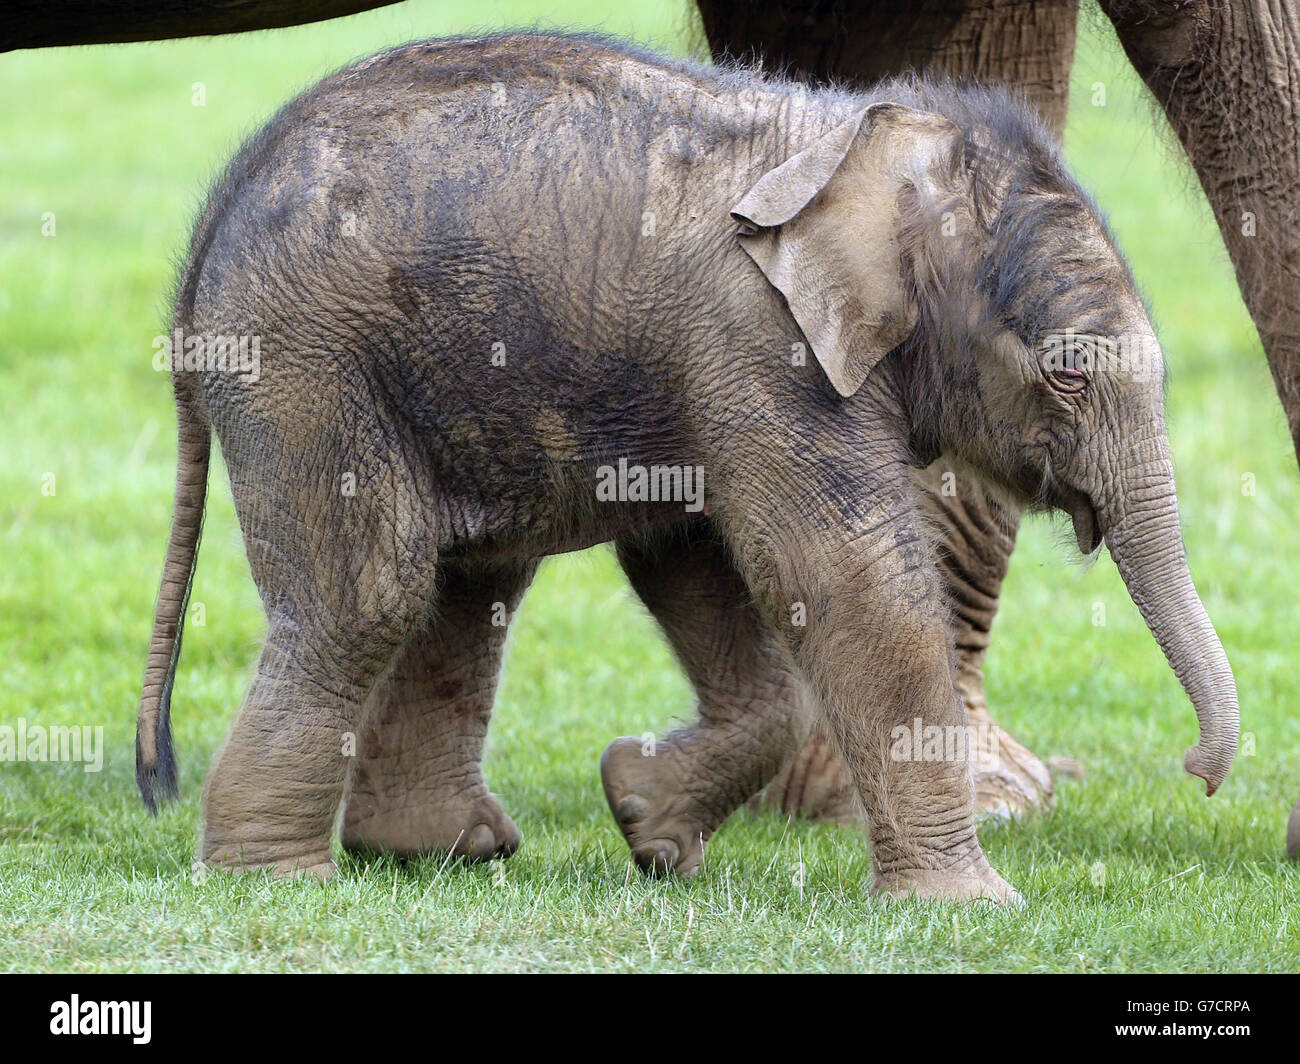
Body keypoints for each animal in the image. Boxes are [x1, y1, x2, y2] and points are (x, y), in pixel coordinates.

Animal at [135, 32, 1239, 901]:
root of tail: (203, 234)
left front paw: (643, 819)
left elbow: (696, 558)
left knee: (467, 579)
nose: (1197, 771)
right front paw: (972, 906)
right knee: (370, 593)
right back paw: (274, 876)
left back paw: (438, 851)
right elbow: (837, 569)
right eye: (1066, 375)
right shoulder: (760, 346)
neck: (866, 146)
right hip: (305, 359)